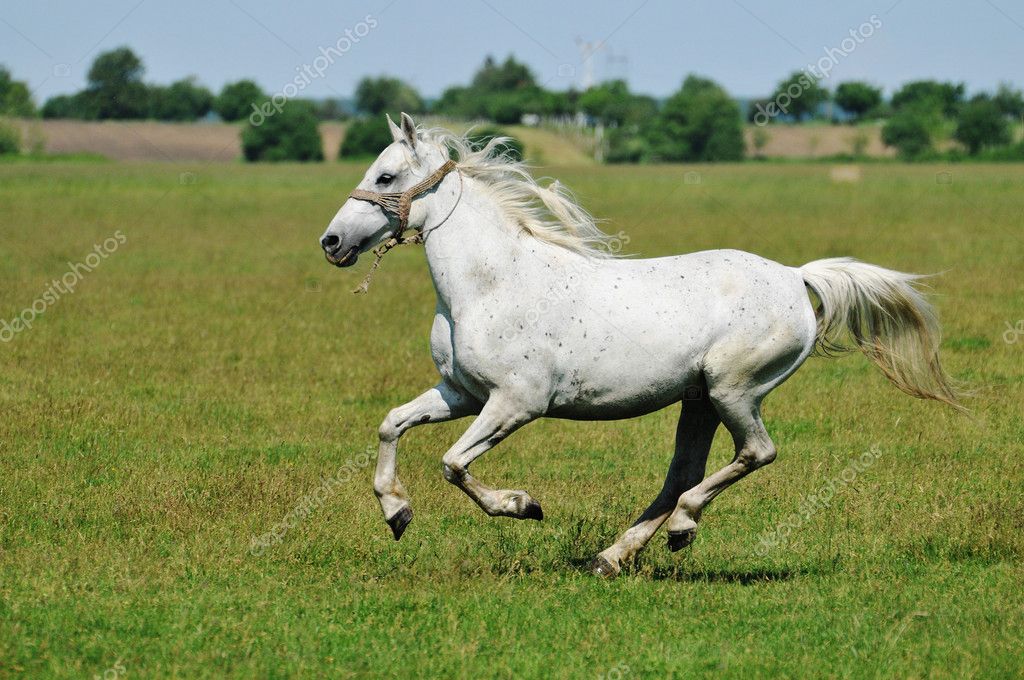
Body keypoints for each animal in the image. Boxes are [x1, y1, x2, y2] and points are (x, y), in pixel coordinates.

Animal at [319, 113, 960, 577]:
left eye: (384, 177)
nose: (331, 242)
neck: (490, 284)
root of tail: (795, 277)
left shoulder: (515, 404)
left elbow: (453, 464)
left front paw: (524, 506)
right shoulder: (461, 394)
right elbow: (391, 424)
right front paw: (397, 512)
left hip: (734, 390)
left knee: (755, 453)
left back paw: (680, 529)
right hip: (699, 398)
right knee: (683, 472)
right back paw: (613, 556)